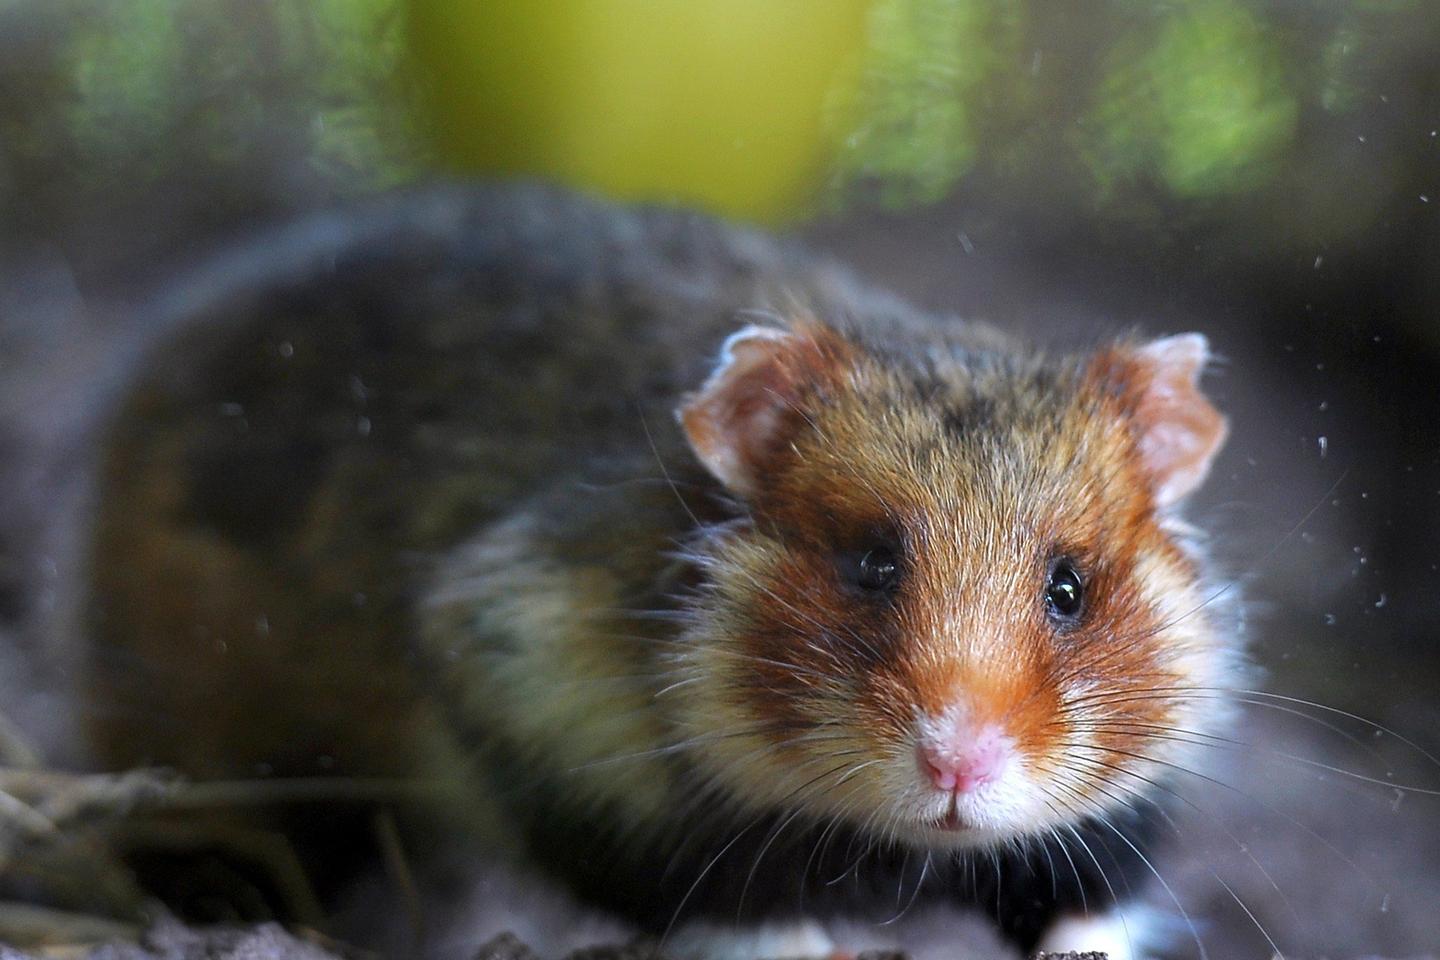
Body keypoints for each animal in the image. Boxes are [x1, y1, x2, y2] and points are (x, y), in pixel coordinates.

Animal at [74, 184, 1238, 959]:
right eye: (869, 564)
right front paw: (819, 942)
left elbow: (1083, 900)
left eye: (1069, 589)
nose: (958, 766)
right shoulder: (516, 673)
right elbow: (722, 896)